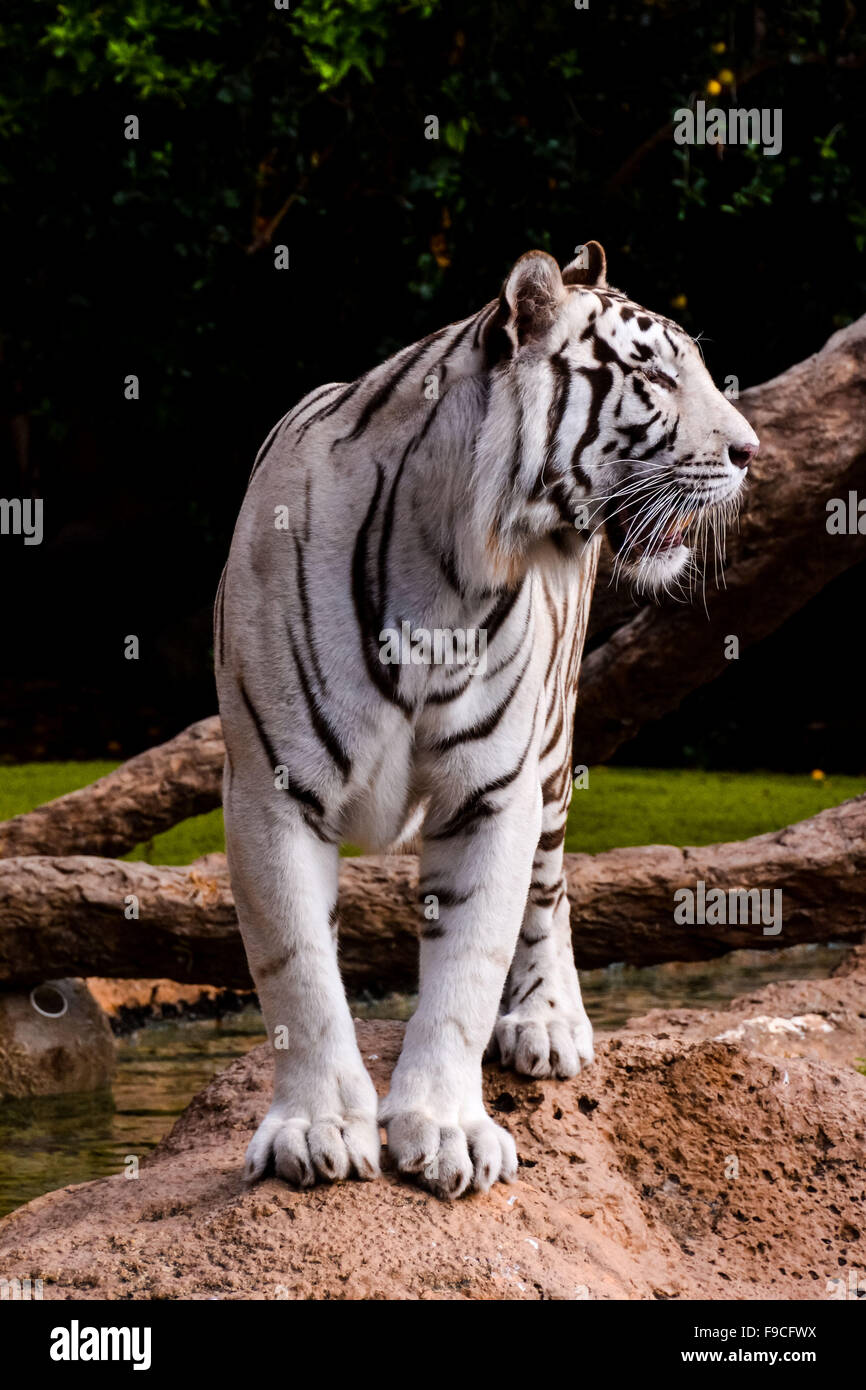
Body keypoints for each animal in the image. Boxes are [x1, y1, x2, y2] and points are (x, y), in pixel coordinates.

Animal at [214, 241, 758, 1199]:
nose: (751, 450)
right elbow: (297, 974)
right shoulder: (271, 789)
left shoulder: (494, 792)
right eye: (656, 374)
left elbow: (467, 971)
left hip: (553, 748)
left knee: (548, 888)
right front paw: (316, 1129)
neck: (449, 573)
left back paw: (547, 1023)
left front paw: (448, 1130)